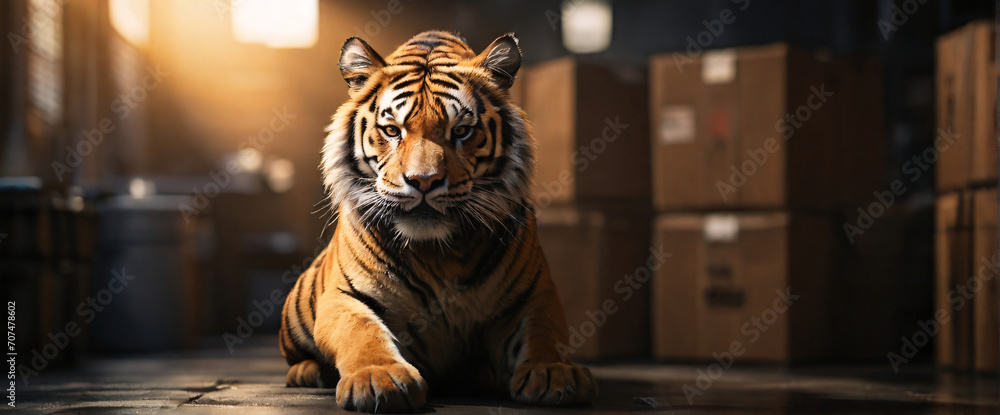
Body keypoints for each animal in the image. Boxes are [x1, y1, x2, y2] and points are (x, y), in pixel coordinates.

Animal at [279, 30, 597, 413]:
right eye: (392, 130)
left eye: (461, 131)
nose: (424, 181)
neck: (439, 251)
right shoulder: (345, 294)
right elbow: (360, 331)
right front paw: (379, 377)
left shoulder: (533, 293)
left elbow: (546, 331)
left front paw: (553, 373)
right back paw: (308, 373)